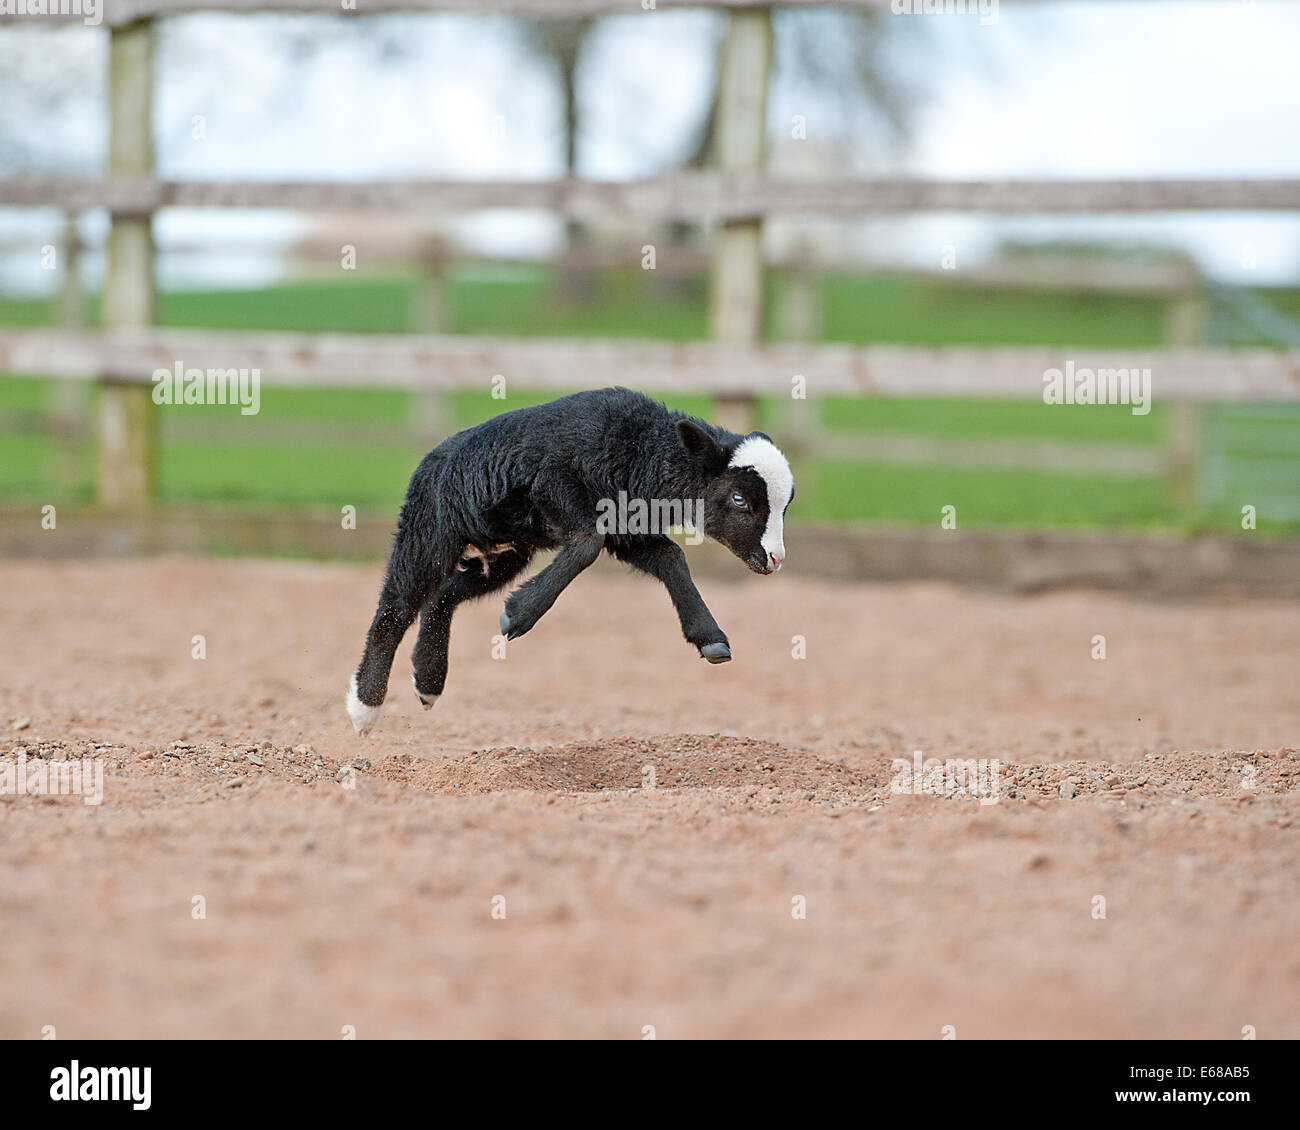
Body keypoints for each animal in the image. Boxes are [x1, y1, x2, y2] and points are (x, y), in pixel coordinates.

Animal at [345, 386, 794, 734]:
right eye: (739, 499)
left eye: (786, 505)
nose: (774, 559)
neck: (639, 448)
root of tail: (431, 460)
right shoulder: (551, 482)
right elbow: (586, 544)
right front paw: (518, 614)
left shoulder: (627, 529)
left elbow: (670, 556)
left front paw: (710, 637)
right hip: (430, 529)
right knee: (397, 607)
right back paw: (365, 706)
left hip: (504, 553)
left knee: (443, 597)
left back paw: (428, 679)